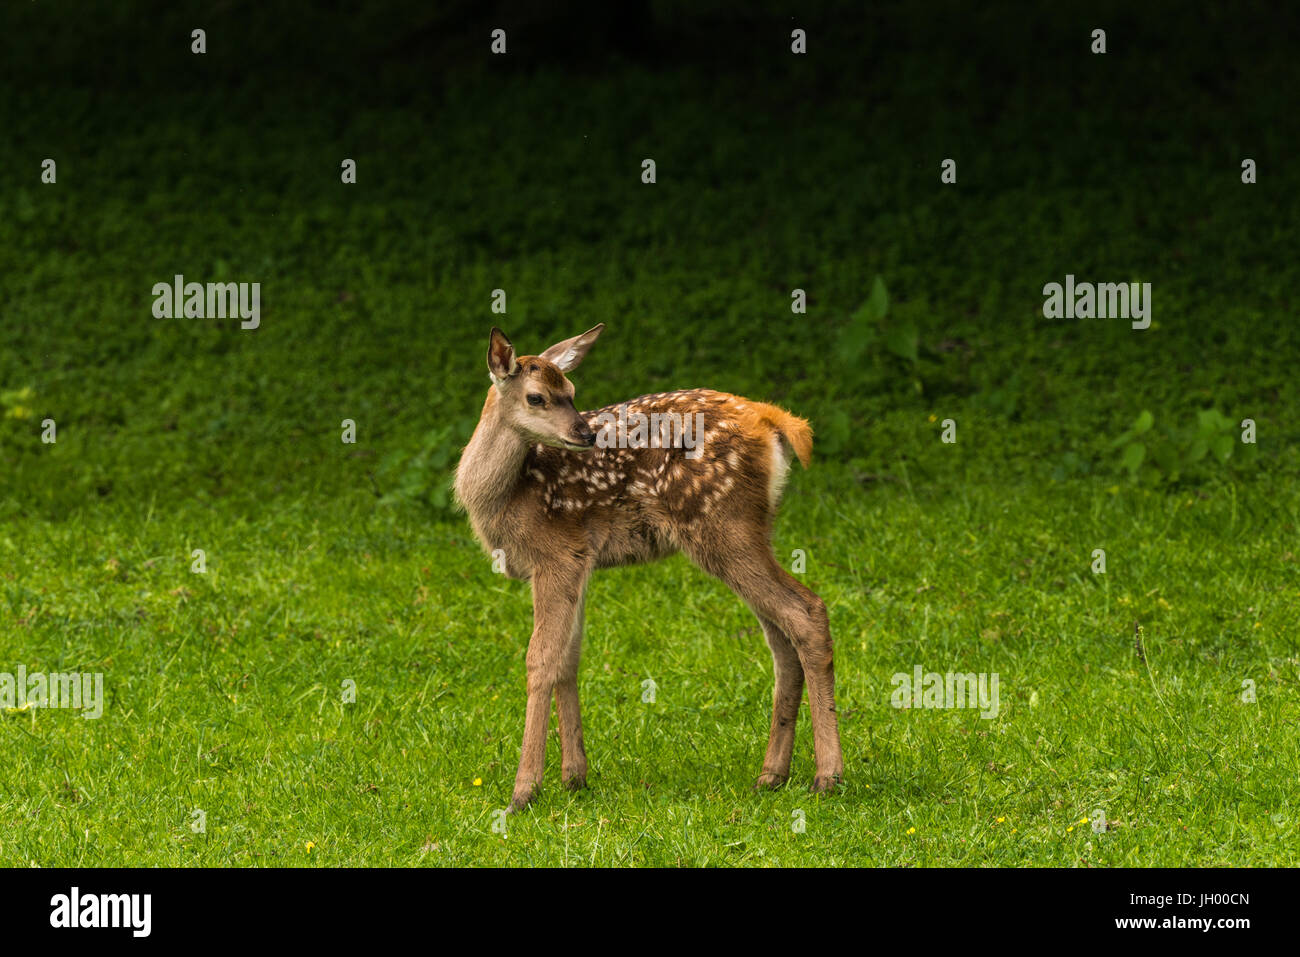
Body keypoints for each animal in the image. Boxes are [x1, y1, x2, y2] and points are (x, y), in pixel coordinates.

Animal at [454, 324, 844, 812]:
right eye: (537, 397)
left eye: (572, 392)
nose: (585, 433)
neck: (503, 498)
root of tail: (772, 419)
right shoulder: (580, 559)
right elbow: (568, 658)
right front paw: (574, 777)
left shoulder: (556, 553)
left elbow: (540, 659)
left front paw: (524, 791)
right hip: (751, 530)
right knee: (780, 635)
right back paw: (771, 775)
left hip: (722, 525)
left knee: (805, 612)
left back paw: (827, 777)